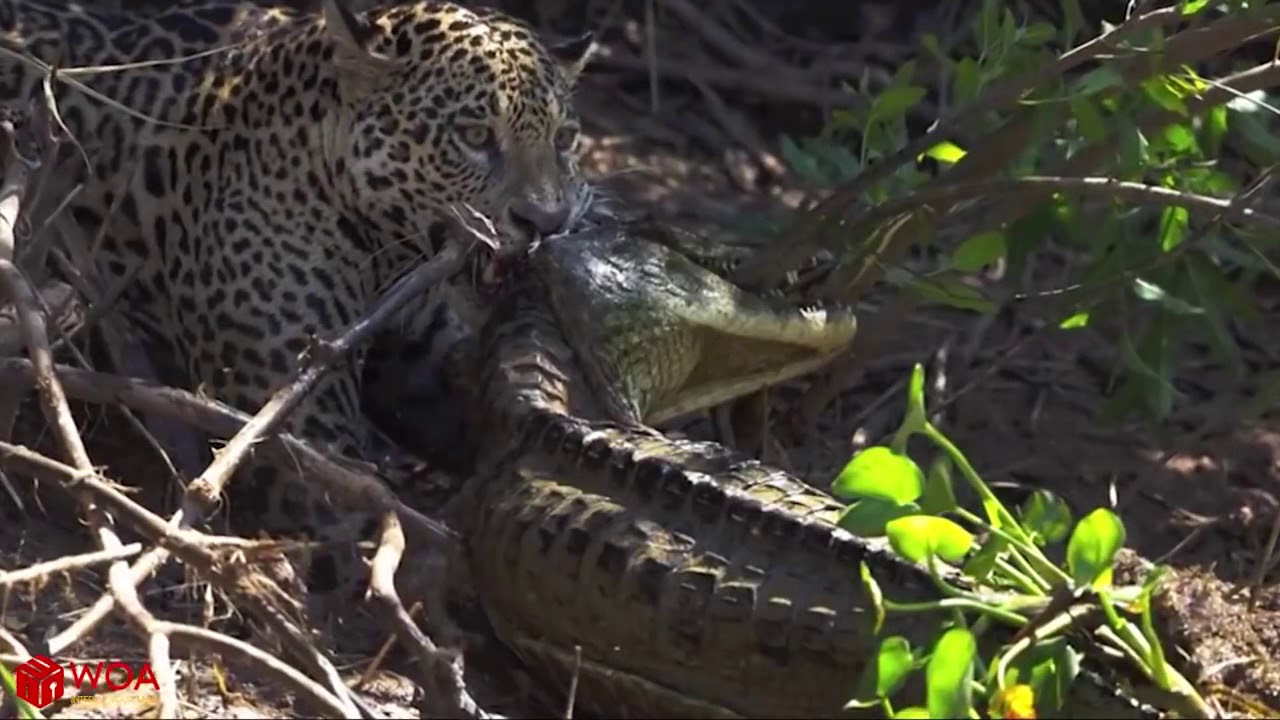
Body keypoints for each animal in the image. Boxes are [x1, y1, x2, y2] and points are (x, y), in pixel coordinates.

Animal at [0, 0, 594, 594]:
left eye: (565, 138)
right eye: (474, 134)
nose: (548, 222)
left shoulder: (421, 358)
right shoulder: (305, 434)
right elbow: (402, 535)